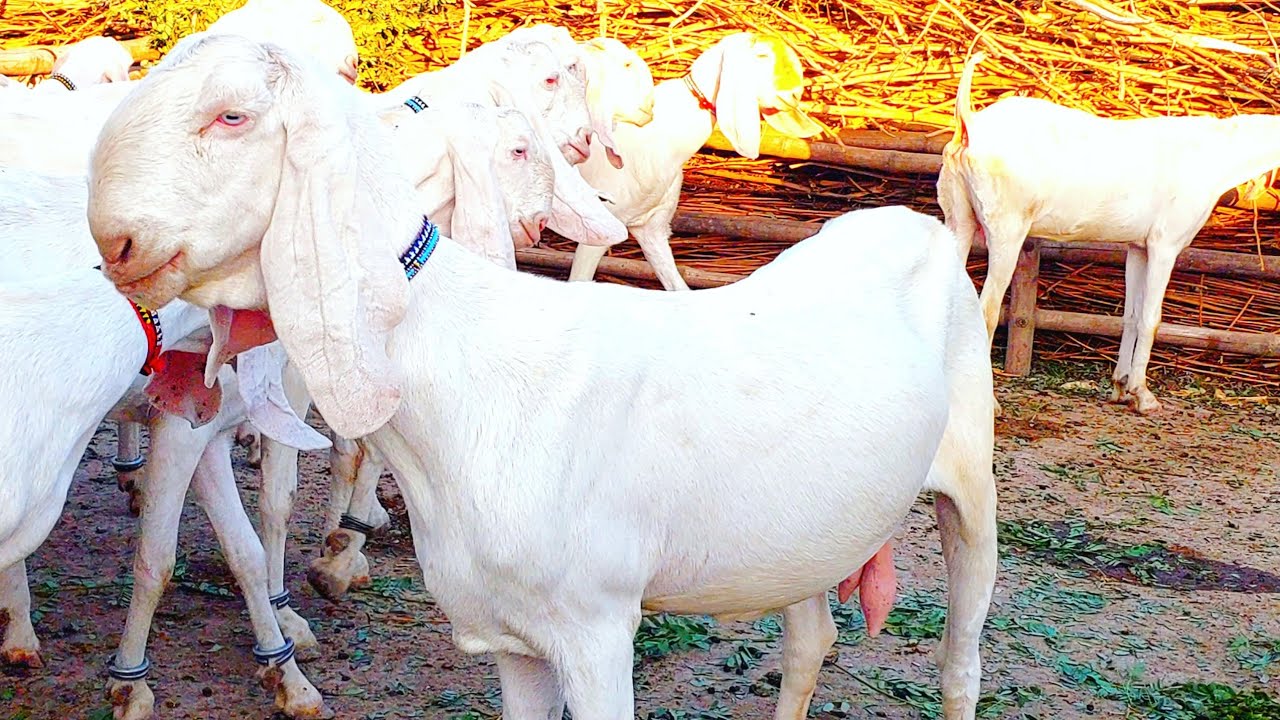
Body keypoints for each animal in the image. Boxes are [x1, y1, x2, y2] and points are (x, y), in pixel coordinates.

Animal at [90, 34, 997, 719]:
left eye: (232, 116)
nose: (115, 246)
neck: (463, 364)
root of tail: (914, 222)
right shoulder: (513, 637)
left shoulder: (596, 631)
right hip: (807, 533)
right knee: (811, 644)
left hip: (972, 490)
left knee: (961, 665)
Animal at [937, 52, 1280, 413]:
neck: (1211, 157)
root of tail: (969, 126)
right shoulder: (1165, 245)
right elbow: (1151, 318)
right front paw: (1144, 396)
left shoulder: (1138, 247)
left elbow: (1131, 315)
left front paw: (1120, 387)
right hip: (1006, 230)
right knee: (986, 311)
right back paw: (989, 403)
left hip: (958, 219)